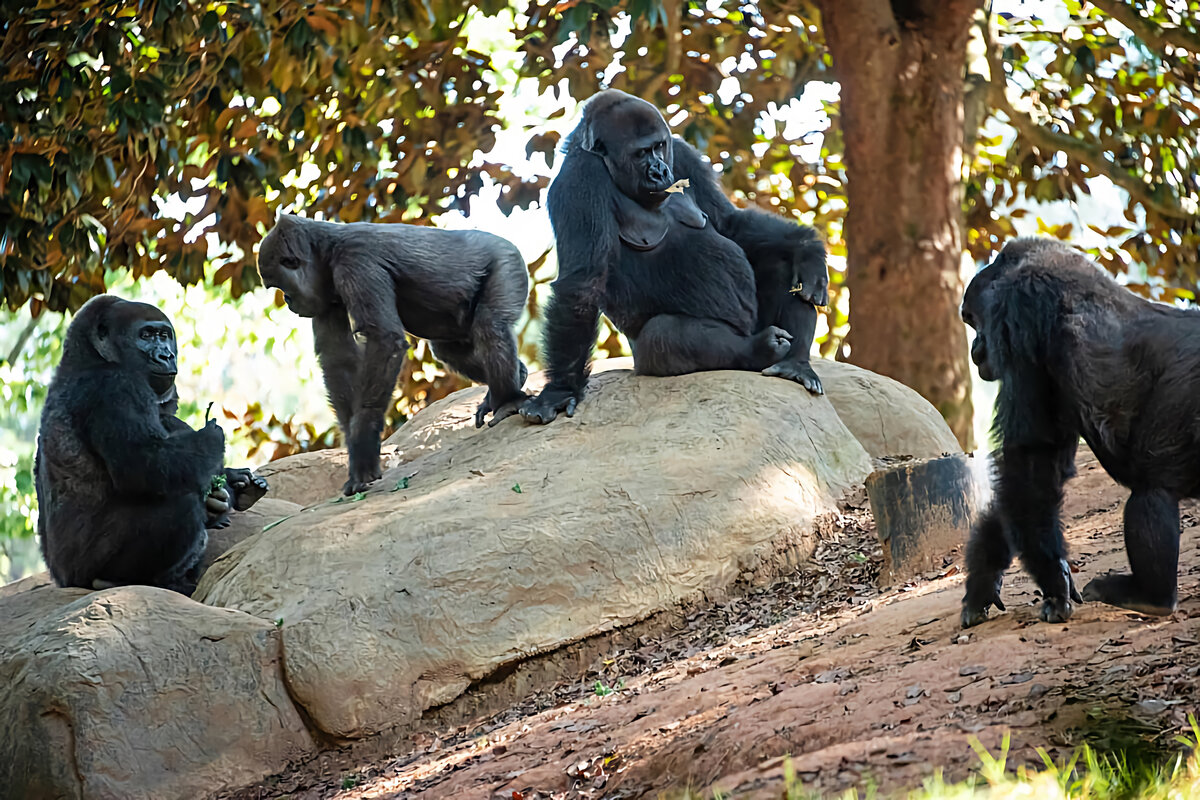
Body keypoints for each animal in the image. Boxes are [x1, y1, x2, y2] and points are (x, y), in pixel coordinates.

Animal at [35, 297, 267, 597]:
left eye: (164, 335)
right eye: (146, 335)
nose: (166, 356)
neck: (87, 358)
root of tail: (61, 578)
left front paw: (232, 483)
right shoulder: (116, 386)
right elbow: (147, 464)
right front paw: (212, 440)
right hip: (82, 570)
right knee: (181, 499)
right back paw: (120, 580)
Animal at [258, 215, 530, 496]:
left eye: (278, 283)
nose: (287, 300)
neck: (325, 249)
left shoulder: (355, 262)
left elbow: (384, 340)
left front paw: (363, 447)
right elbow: (338, 359)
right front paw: (355, 449)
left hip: (506, 260)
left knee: (491, 325)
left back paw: (508, 400)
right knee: (447, 348)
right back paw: (514, 378)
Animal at [520, 88, 830, 424]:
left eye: (659, 146)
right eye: (641, 154)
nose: (660, 172)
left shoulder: (681, 153)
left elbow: (729, 222)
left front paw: (807, 249)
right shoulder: (579, 179)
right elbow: (582, 284)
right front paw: (560, 390)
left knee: (783, 265)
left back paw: (796, 363)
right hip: (646, 360)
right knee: (664, 336)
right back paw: (759, 349)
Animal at [960, 239, 1200, 633]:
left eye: (974, 321)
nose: (976, 351)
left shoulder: (1019, 309)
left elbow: (1030, 458)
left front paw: (1053, 581)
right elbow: (1039, 470)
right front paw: (983, 580)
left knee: (1150, 493)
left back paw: (1151, 597)